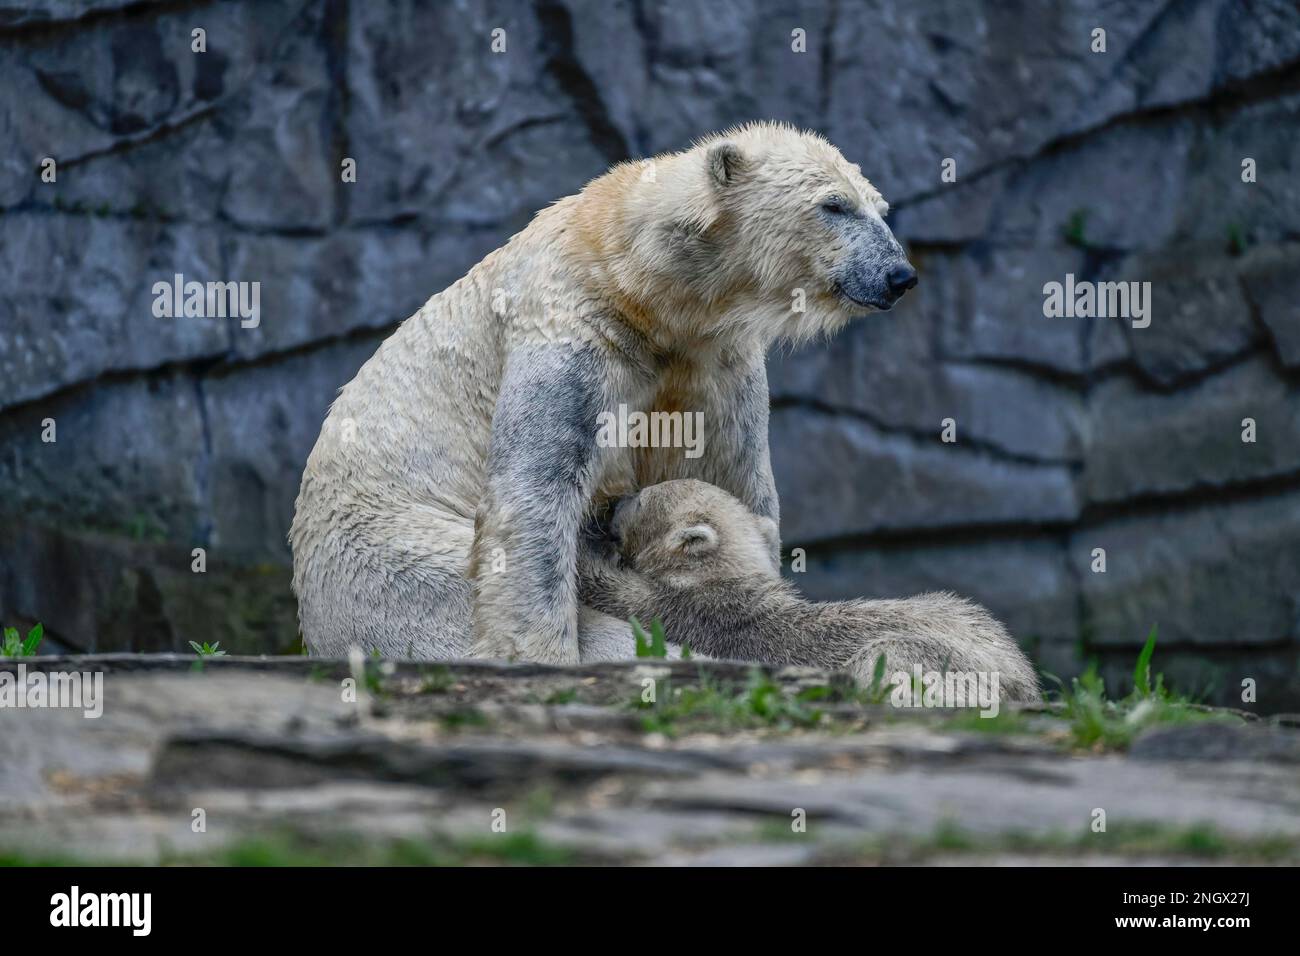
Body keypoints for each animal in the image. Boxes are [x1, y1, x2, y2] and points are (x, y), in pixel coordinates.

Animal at [290, 122, 917, 662]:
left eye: (880, 208)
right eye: (833, 205)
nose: (900, 275)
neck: (633, 280)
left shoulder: (712, 358)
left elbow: (722, 475)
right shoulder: (571, 325)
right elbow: (535, 487)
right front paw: (542, 655)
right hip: (398, 564)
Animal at [579, 479, 1042, 704]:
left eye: (642, 497)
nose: (613, 501)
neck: (729, 579)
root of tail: (1025, 682)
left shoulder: (689, 612)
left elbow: (620, 595)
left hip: (947, 660)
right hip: (967, 615)